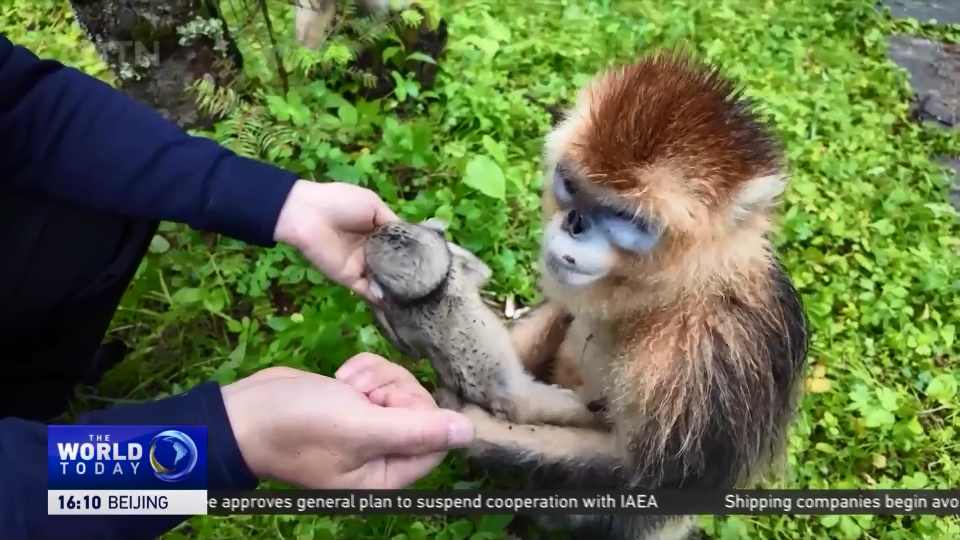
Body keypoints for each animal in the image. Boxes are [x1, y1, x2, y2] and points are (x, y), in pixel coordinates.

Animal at [439, 50, 811, 540]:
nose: (574, 222)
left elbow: (651, 483)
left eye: (623, 216)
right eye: (573, 186)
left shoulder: (713, 356)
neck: (668, 298)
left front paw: (468, 426)